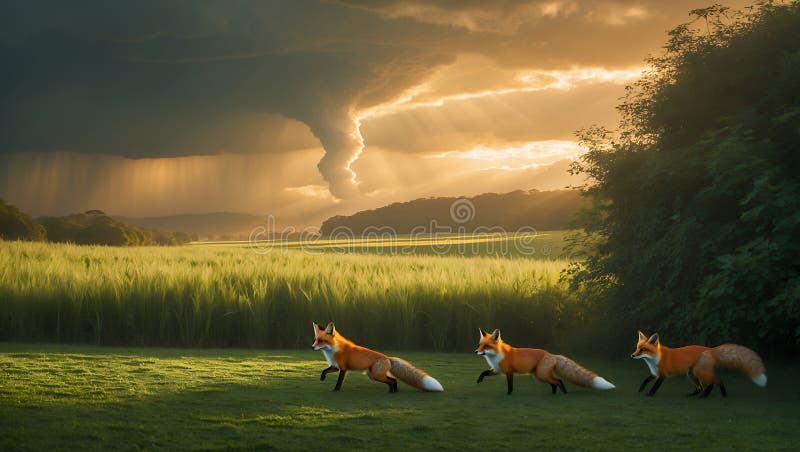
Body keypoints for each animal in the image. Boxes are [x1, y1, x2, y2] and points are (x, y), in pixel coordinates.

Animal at [311, 322, 444, 393]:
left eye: (321, 341)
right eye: (315, 340)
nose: (312, 347)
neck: (333, 350)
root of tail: (388, 358)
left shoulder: (343, 368)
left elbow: (339, 381)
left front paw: (336, 390)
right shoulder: (335, 366)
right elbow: (324, 370)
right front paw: (322, 378)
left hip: (375, 375)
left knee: (392, 380)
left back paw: (393, 392)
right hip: (373, 375)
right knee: (392, 380)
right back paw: (392, 391)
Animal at [474, 328, 615, 394]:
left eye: (486, 347)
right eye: (480, 345)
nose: (475, 351)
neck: (496, 356)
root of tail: (552, 354)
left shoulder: (509, 372)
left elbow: (510, 386)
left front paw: (509, 394)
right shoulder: (497, 370)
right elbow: (484, 372)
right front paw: (479, 380)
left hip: (541, 375)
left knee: (559, 381)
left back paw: (564, 393)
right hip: (540, 376)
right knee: (554, 383)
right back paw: (554, 394)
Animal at [631, 331, 767, 398]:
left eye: (643, 349)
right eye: (637, 348)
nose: (632, 355)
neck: (655, 359)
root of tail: (711, 349)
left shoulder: (663, 375)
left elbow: (655, 387)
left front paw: (650, 394)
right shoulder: (655, 373)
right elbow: (646, 380)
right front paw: (641, 388)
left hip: (699, 372)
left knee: (714, 382)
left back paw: (708, 396)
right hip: (691, 374)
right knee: (702, 386)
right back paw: (695, 395)